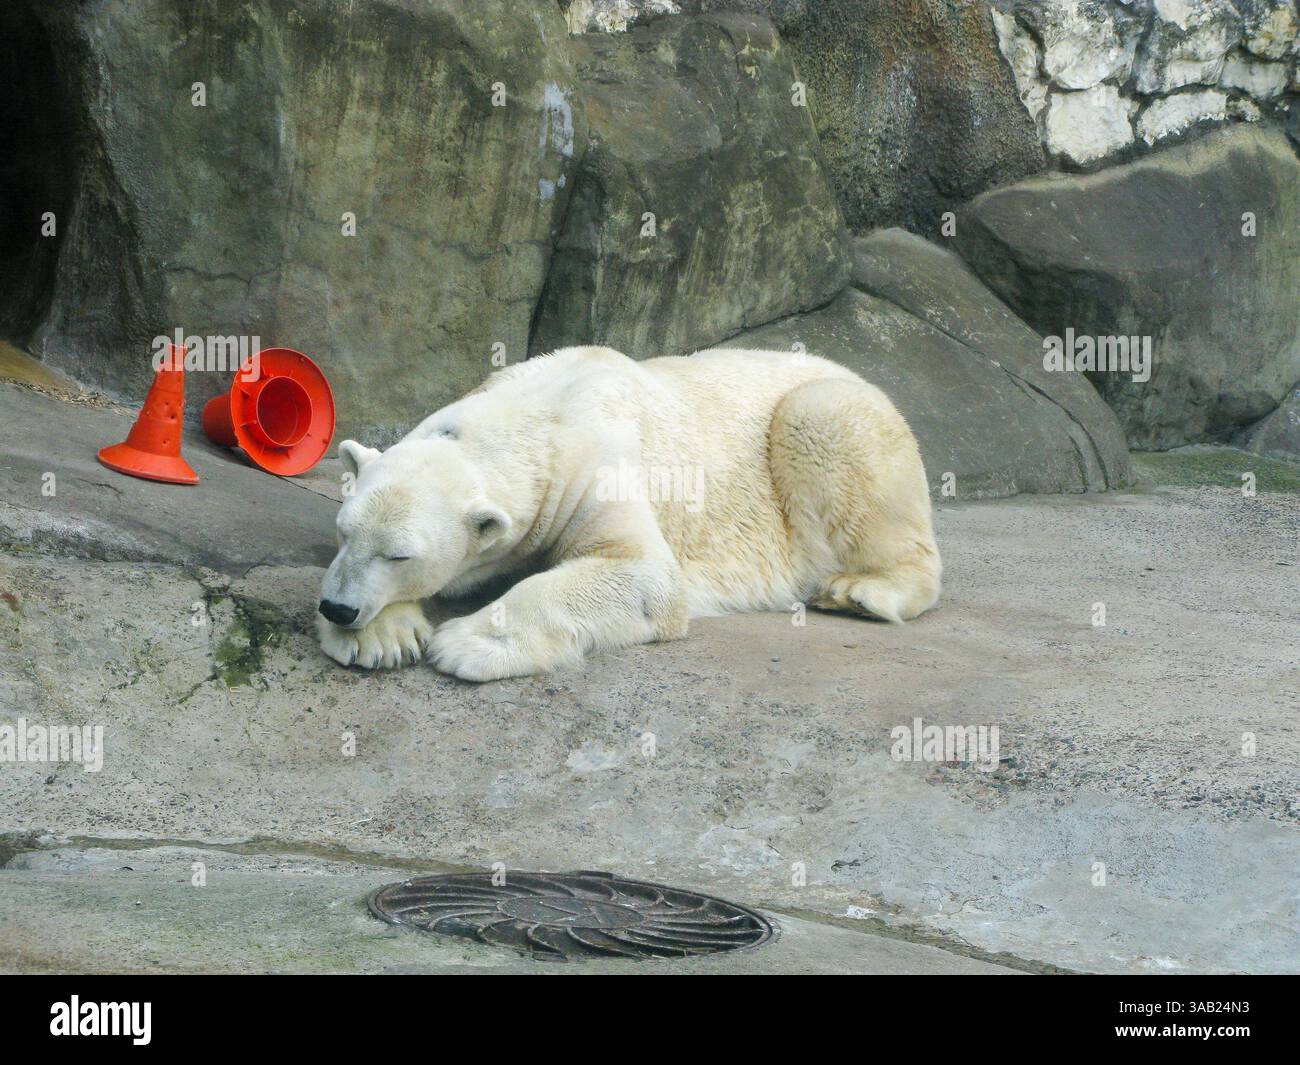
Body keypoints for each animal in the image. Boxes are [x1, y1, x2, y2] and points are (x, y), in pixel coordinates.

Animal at [317, 345, 941, 681]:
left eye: (400, 554)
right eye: (344, 534)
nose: (338, 607)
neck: (542, 407)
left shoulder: (598, 467)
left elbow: (641, 575)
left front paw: (467, 643)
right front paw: (381, 638)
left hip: (839, 415)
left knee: (825, 424)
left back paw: (859, 592)